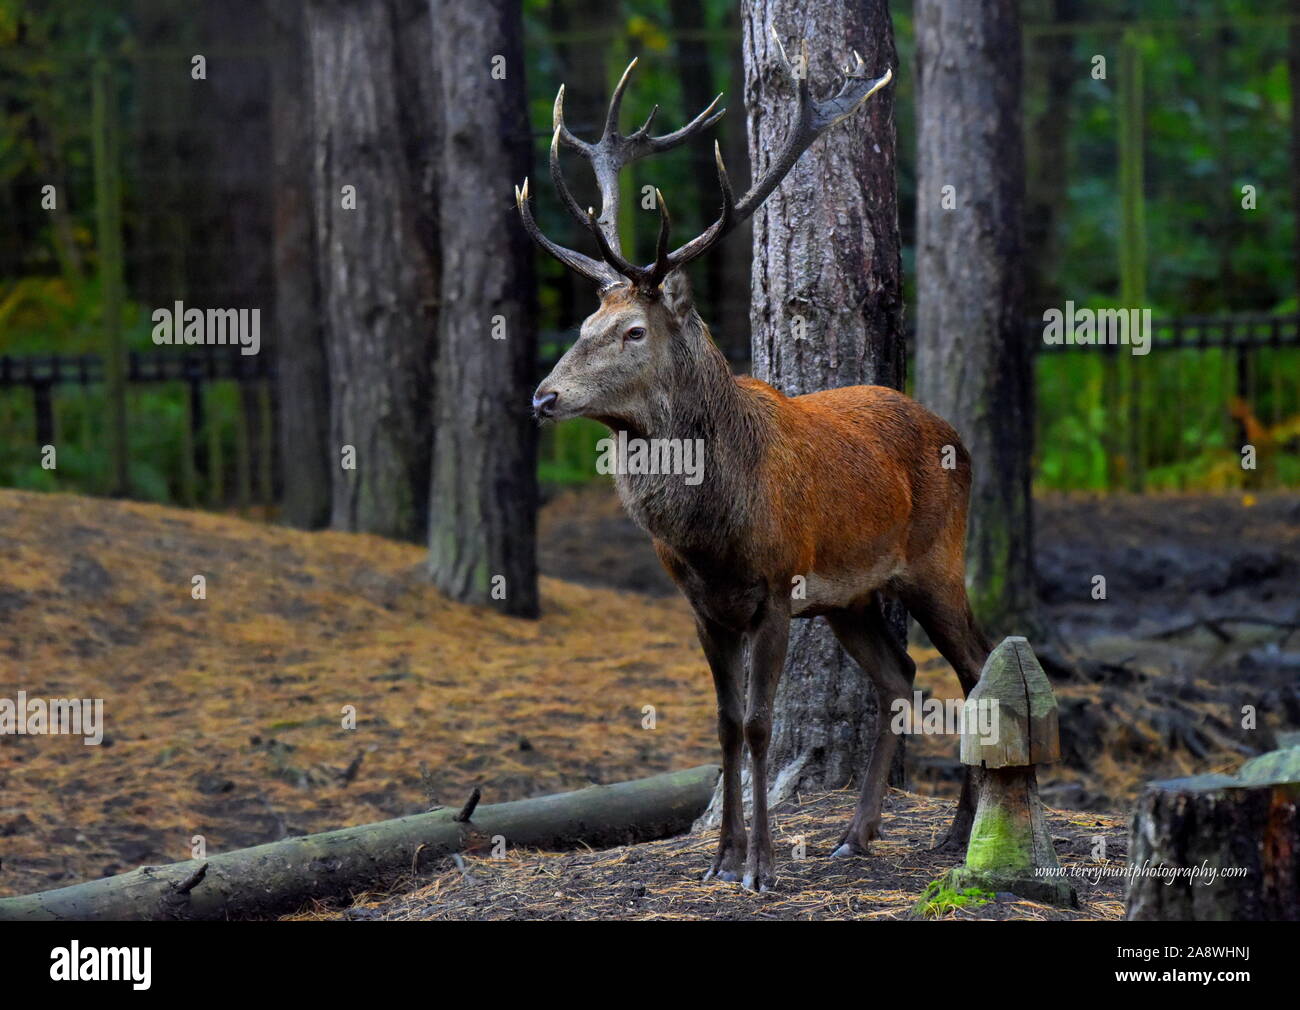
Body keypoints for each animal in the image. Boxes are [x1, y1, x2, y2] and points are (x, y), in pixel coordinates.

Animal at [517, 30, 992, 892]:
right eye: (582, 325)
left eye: (632, 331)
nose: (543, 396)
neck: (712, 528)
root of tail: (953, 432)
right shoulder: (705, 605)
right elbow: (727, 724)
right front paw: (721, 858)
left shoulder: (775, 584)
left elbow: (767, 724)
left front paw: (762, 867)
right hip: (850, 598)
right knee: (900, 675)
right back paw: (856, 833)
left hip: (936, 560)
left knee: (973, 666)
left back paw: (959, 830)